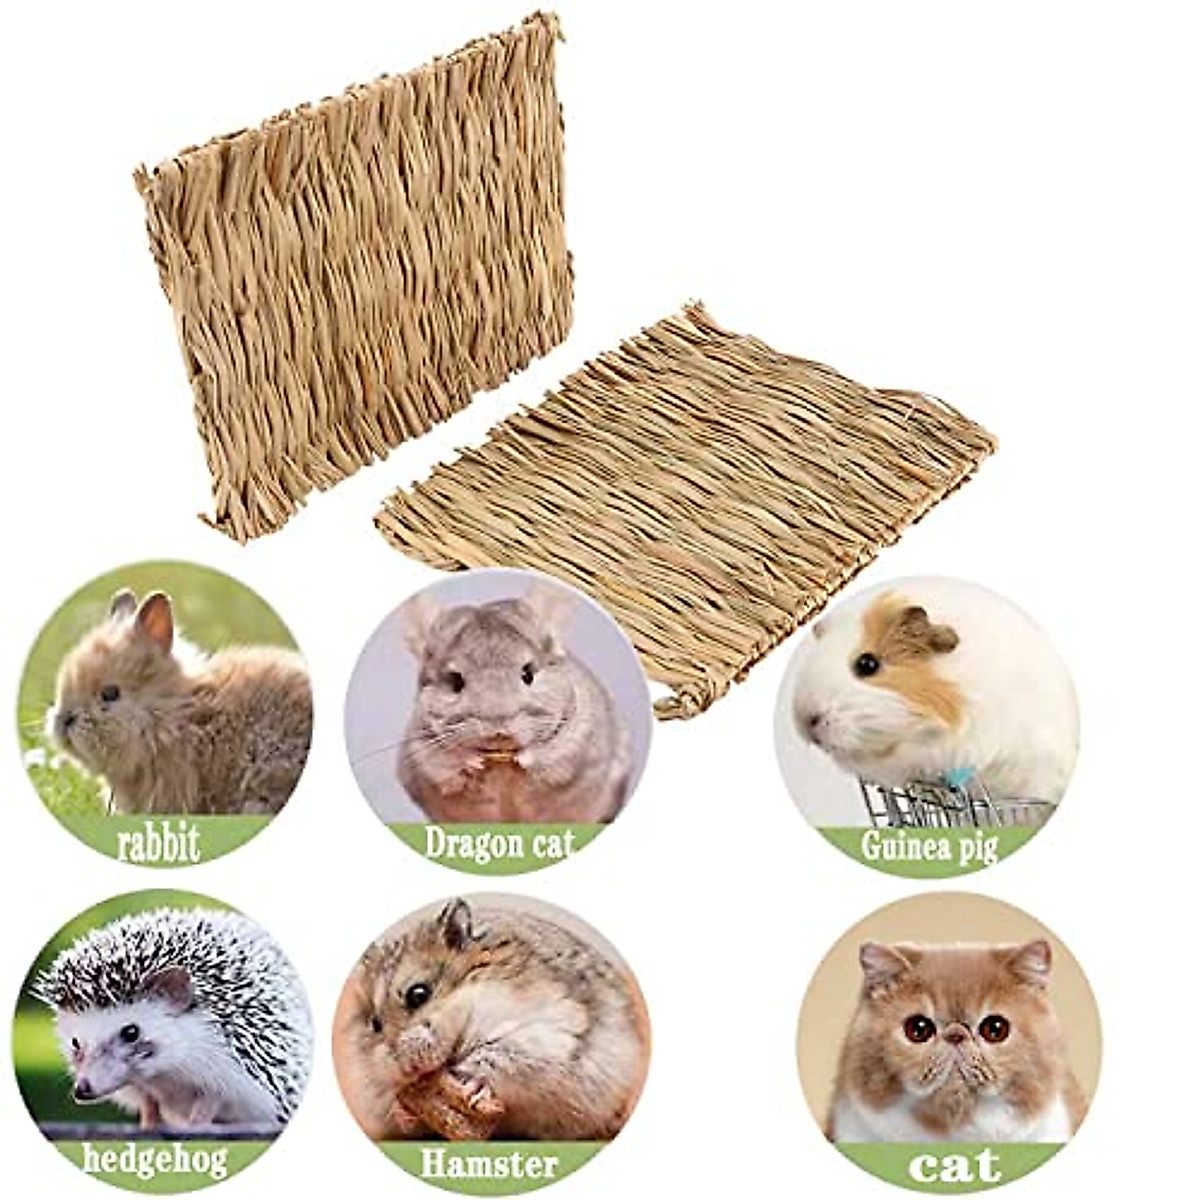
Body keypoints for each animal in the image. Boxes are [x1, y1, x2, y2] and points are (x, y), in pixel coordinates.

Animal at [333, 898, 650, 1141]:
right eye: (374, 1024)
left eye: (418, 994)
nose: (408, 1070)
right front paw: (404, 1109)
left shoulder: (542, 1035)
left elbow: (493, 1058)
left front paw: (471, 1088)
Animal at [397, 582, 632, 823]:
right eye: (455, 682)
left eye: (528, 673)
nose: (498, 726)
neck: (501, 764)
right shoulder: (422, 751)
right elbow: (448, 761)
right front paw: (474, 761)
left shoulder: (575, 740)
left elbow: (546, 755)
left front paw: (522, 758)